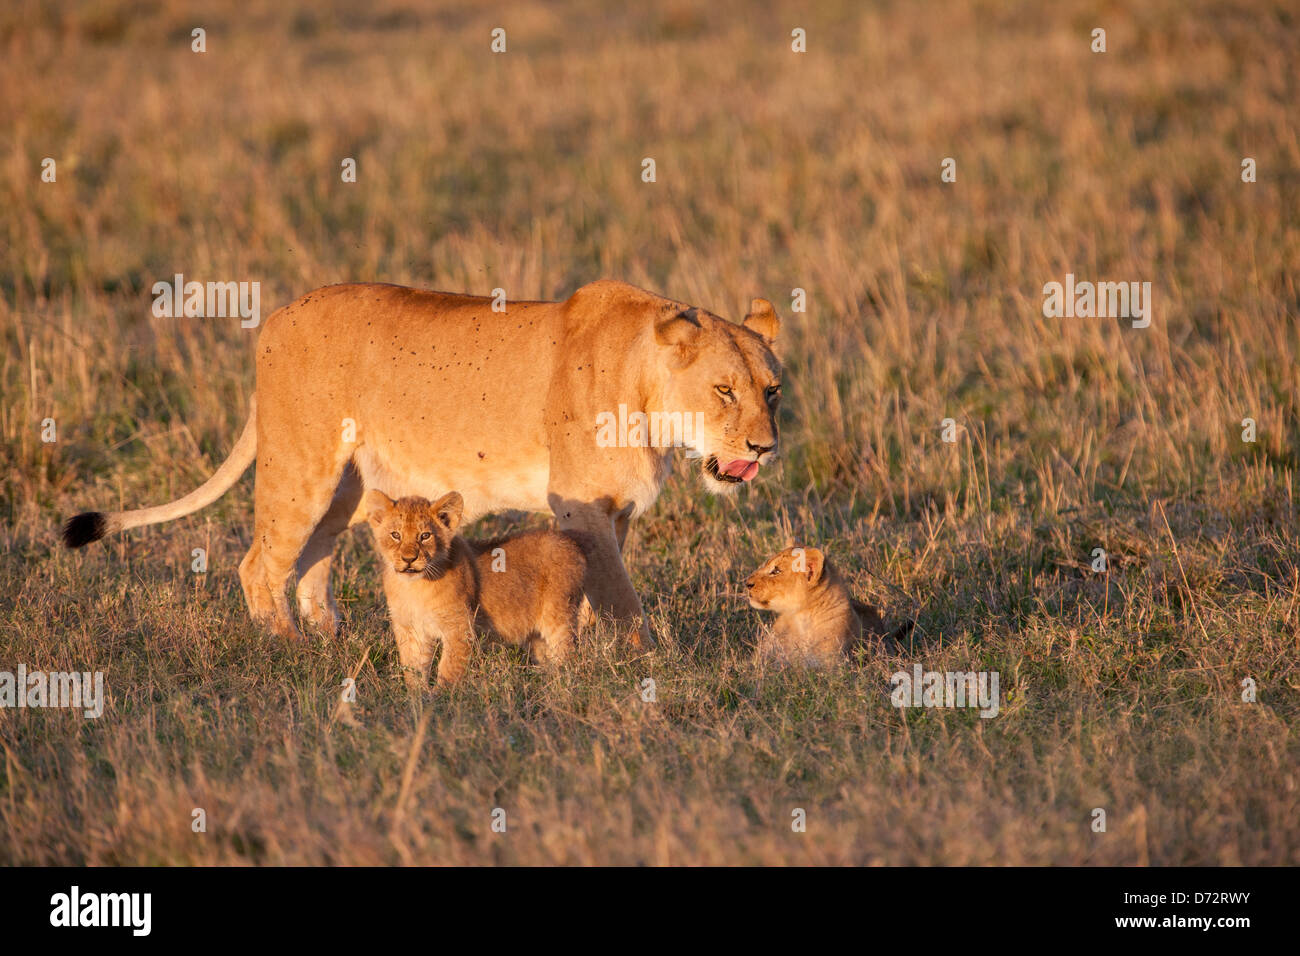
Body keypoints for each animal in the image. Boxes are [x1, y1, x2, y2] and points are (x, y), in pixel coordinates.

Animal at [62, 280, 782, 648]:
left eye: (771, 391)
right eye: (724, 391)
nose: (763, 448)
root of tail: (273, 320)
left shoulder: (616, 512)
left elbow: (593, 589)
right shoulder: (581, 506)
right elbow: (622, 599)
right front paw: (646, 666)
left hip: (348, 487)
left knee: (311, 560)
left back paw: (332, 642)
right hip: (301, 469)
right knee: (259, 564)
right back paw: (287, 649)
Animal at [365, 490, 588, 689]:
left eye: (425, 535)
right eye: (395, 535)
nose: (409, 559)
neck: (413, 588)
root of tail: (571, 542)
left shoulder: (459, 626)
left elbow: (449, 668)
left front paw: (442, 699)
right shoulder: (411, 630)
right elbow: (413, 669)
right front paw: (417, 698)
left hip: (559, 616)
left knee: (568, 655)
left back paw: (565, 685)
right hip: (538, 635)